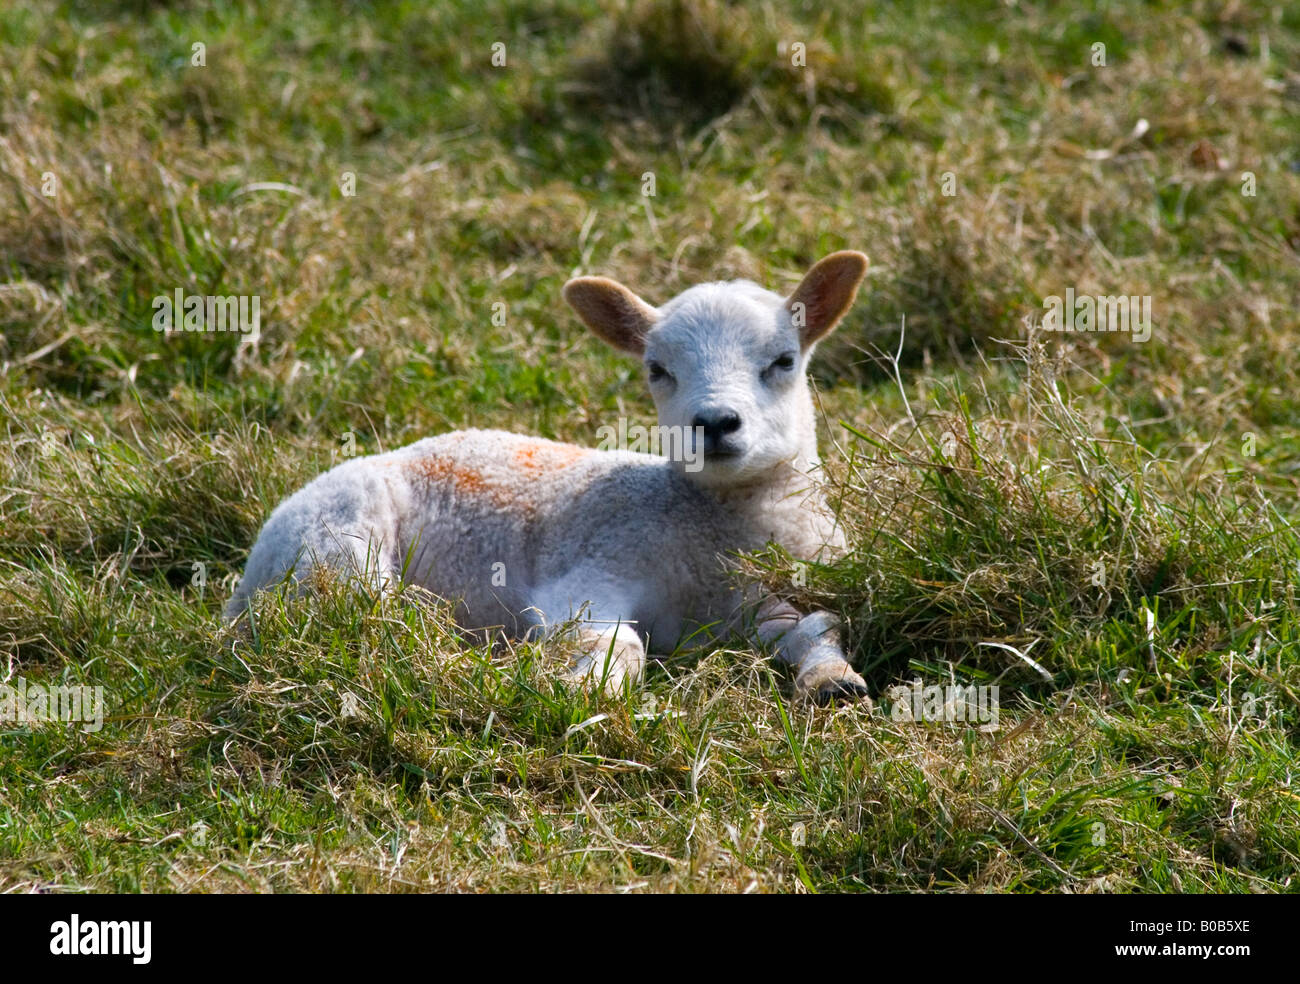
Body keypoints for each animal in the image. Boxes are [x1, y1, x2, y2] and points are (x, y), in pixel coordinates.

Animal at [225, 251, 872, 704]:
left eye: (784, 360)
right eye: (656, 369)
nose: (714, 424)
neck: (714, 525)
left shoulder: (770, 595)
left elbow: (818, 624)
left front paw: (833, 681)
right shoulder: (594, 569)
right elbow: (616, 644)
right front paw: (584, 691)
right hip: (335, 551)